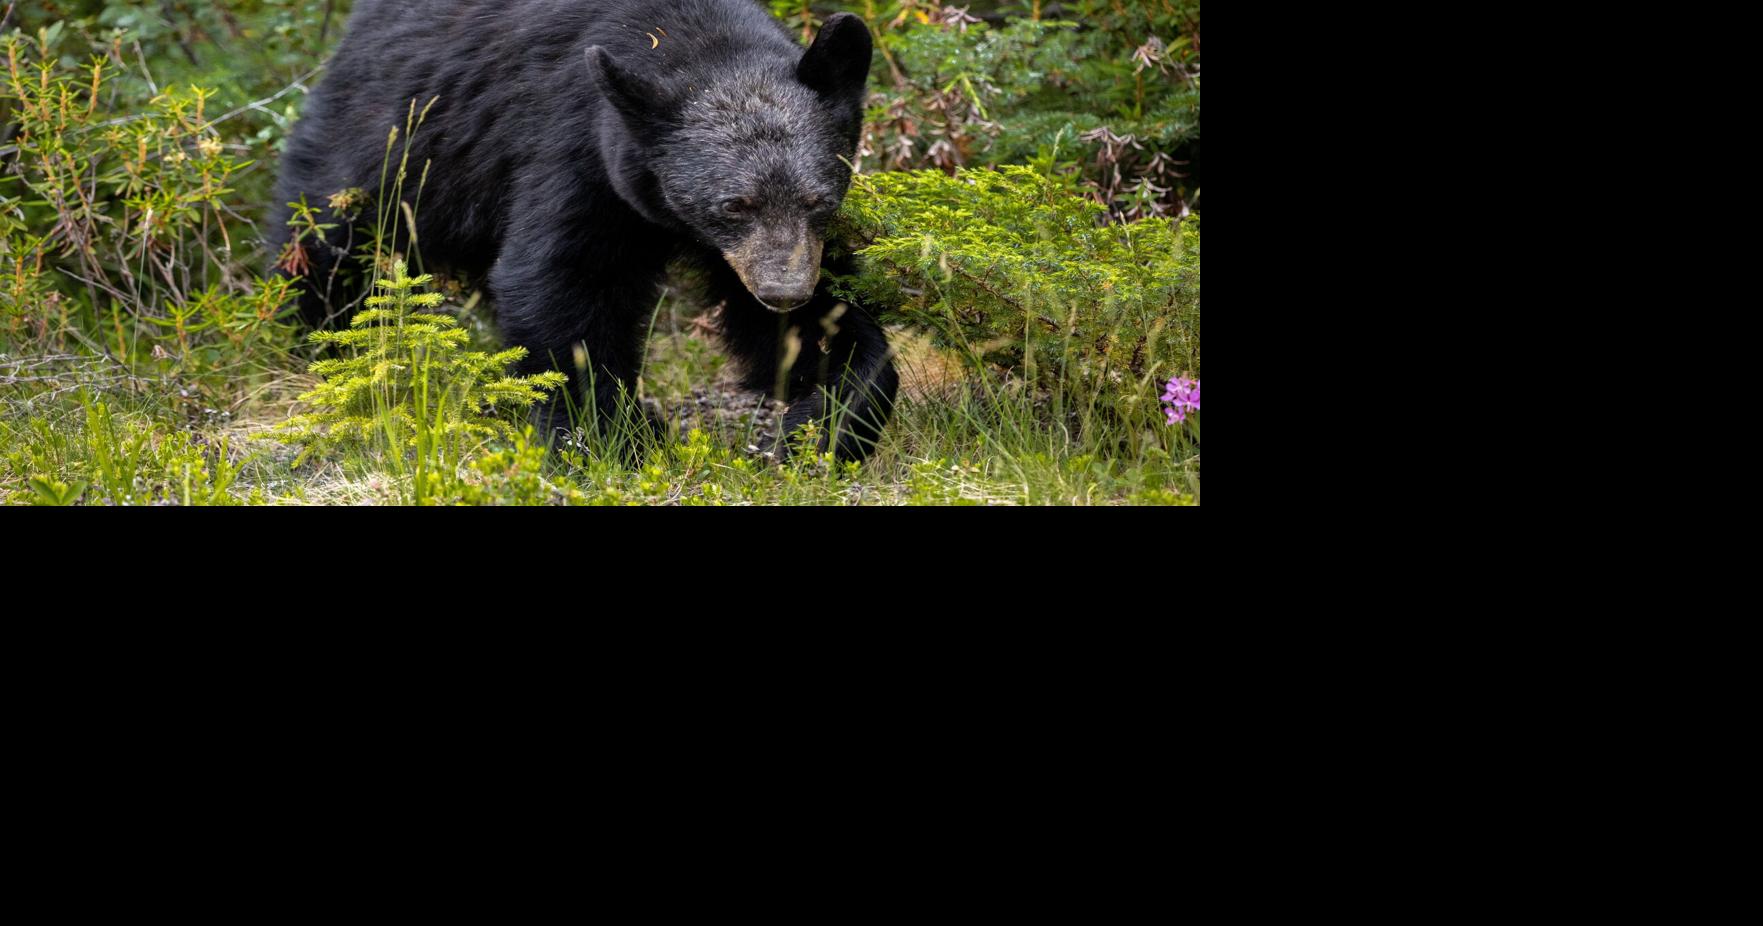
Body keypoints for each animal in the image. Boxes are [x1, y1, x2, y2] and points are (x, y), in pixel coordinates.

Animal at [270, 0, 897, 461]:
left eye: (819, 200)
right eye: (733, 204)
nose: (784, 292)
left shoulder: (772, 248)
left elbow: (815, 323)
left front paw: (823, 422)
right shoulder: (577, 147)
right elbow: (565, 280)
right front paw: (610, 438)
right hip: (398, 135)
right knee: (328, 233)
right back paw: (325, 339)